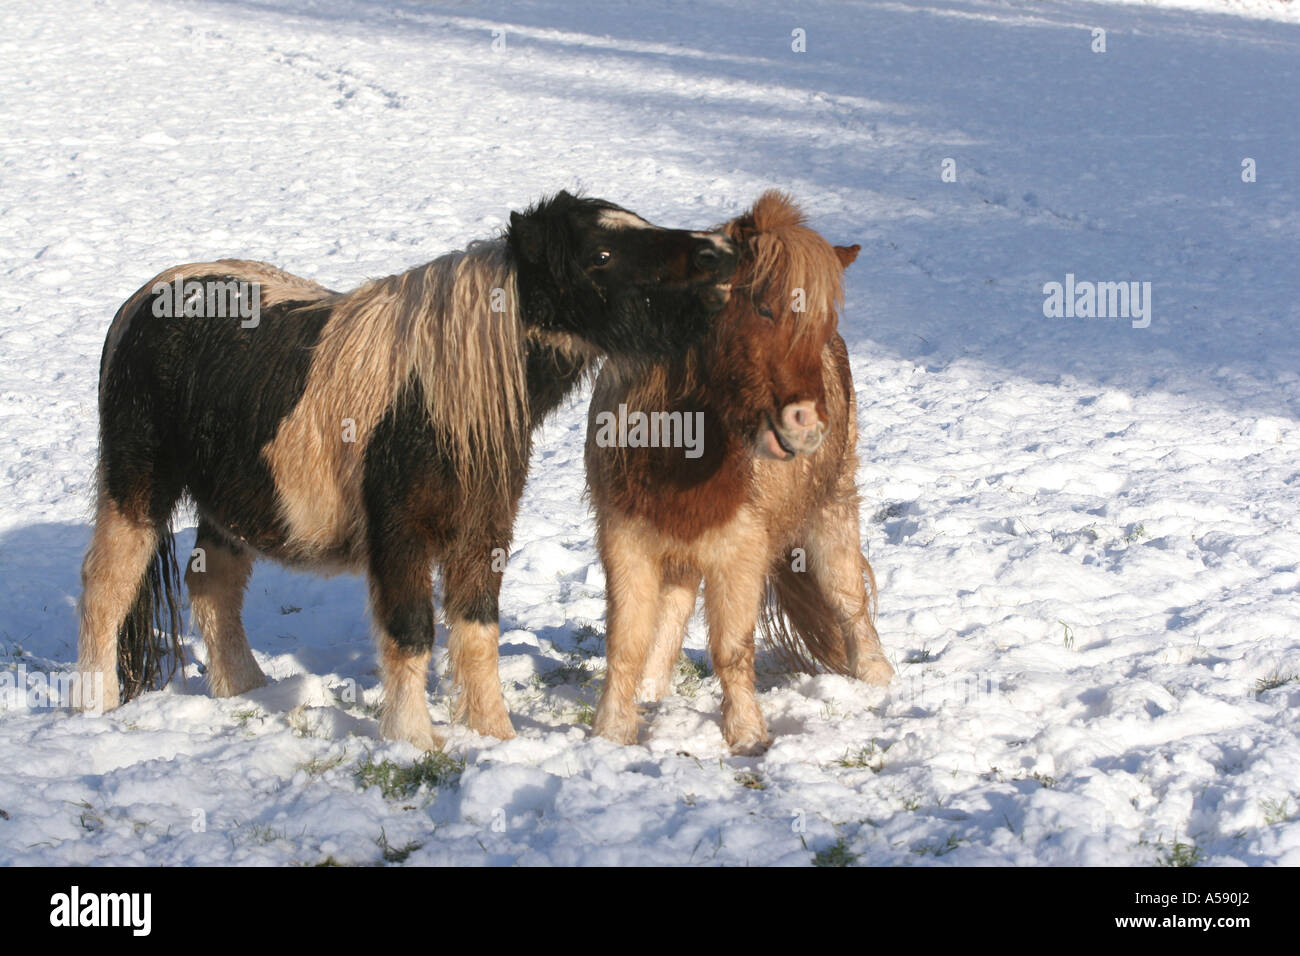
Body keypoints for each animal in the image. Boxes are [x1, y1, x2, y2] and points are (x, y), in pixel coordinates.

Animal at [76, 191, 738, 750]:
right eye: (600, 254)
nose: (720, 254)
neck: (436, 398)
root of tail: (140, 301)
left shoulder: (484, 530)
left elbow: (477, 630)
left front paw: (495, 735)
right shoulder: (399, 536)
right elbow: (412, 632)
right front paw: (414, 739)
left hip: (228, 505)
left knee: (212, 585)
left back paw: (245, 689)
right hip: (135, 487)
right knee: (106, 588)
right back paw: (93, 706)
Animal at [585, 190, 893, 755]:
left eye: (822, 323)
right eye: (764, 307)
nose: (808, 424)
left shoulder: (741, 551)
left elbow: (731, 647)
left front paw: (747, 735)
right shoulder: (626, 539)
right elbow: (627, 640)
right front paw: (612, 732)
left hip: (832, 510)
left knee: (848, 597)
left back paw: (879, 677)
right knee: (677, 604)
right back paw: (652, 689)